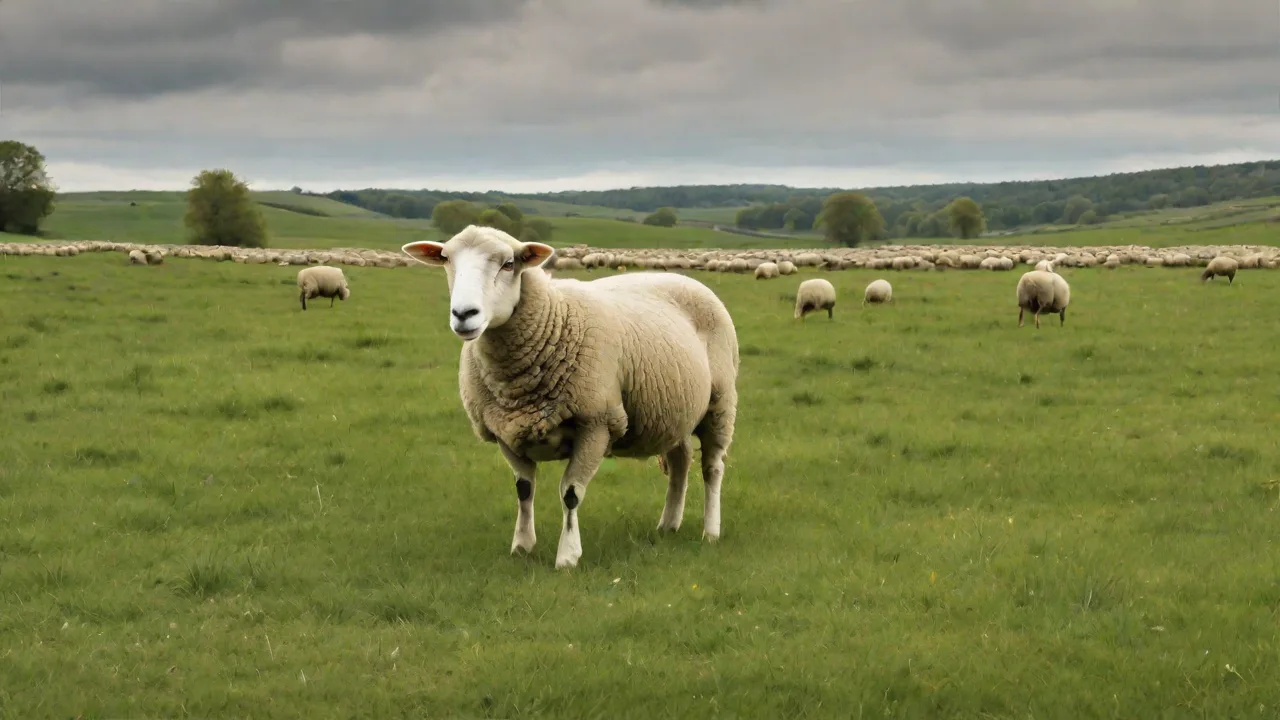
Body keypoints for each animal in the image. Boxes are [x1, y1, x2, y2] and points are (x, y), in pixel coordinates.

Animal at [401, 226, 739, 569]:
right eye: (446, 260)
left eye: (509, 264)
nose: (463, 314)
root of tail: (684, 278)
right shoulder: (503, 430)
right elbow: (524, 489)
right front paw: (522, 546)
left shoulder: (597, 424)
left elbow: (571, 493)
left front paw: (567, 556)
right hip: (673, 410)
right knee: (681, 461)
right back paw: (669, 524)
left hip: (720, 402)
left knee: (712, 467)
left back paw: (711, 531)